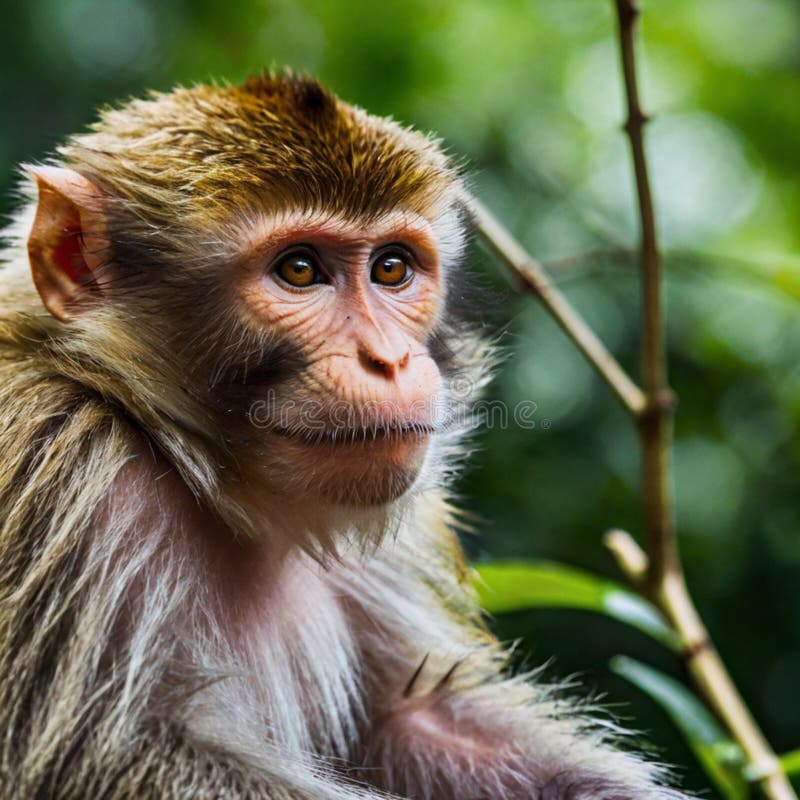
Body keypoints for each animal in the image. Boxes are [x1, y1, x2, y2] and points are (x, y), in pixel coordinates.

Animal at [0, 73, 691, 800]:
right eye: (299, 270)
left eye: (391, 268)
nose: (388, 359)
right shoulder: (65, 469)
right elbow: (101, 759)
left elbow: (404, 719)